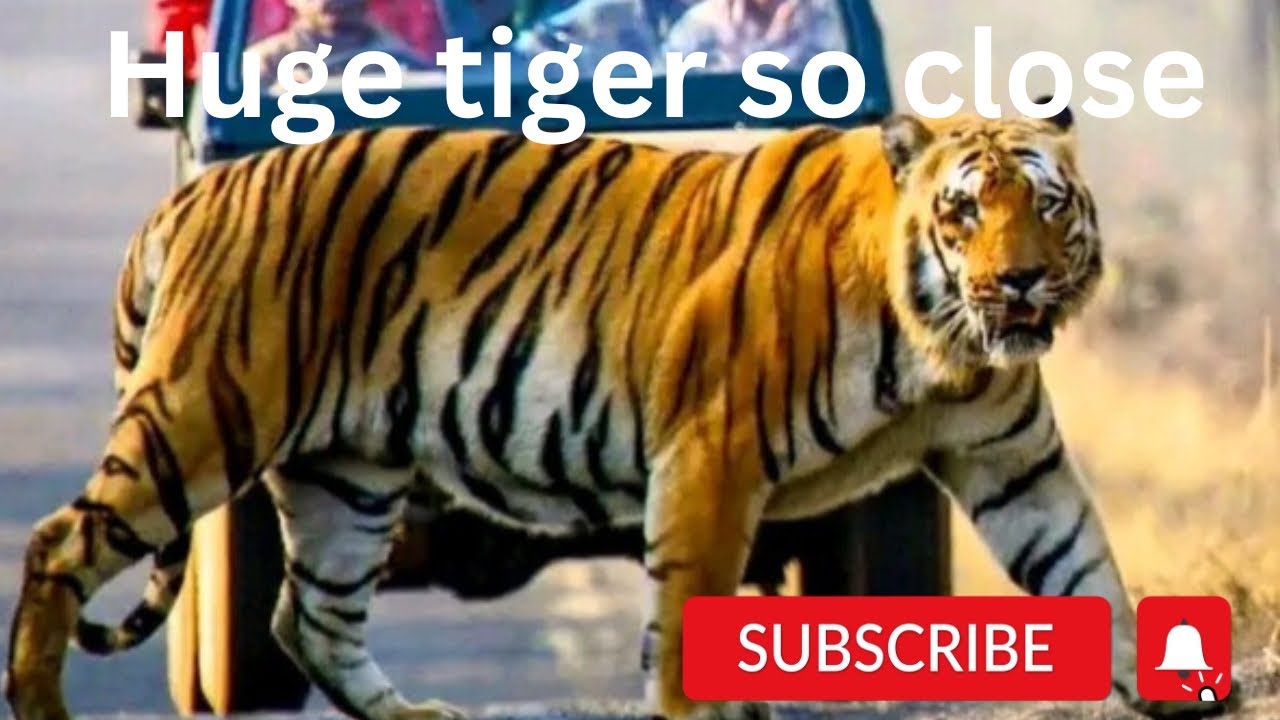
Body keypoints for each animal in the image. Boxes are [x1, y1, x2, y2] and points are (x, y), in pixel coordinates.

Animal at [4, 105, 1235, 720]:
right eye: (967, 211)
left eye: (1046, 205)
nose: (1020, 284)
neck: (942, 348)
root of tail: (198, 190)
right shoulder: (713, 452)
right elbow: (687, 612)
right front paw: (697, 717)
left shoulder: (1011, 460)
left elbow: (1087, 570)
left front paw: (1172, 691)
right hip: (204, 418)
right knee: (62, 542)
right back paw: (42, 703)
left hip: (347, 469)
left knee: (309, 616)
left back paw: (413, 715)